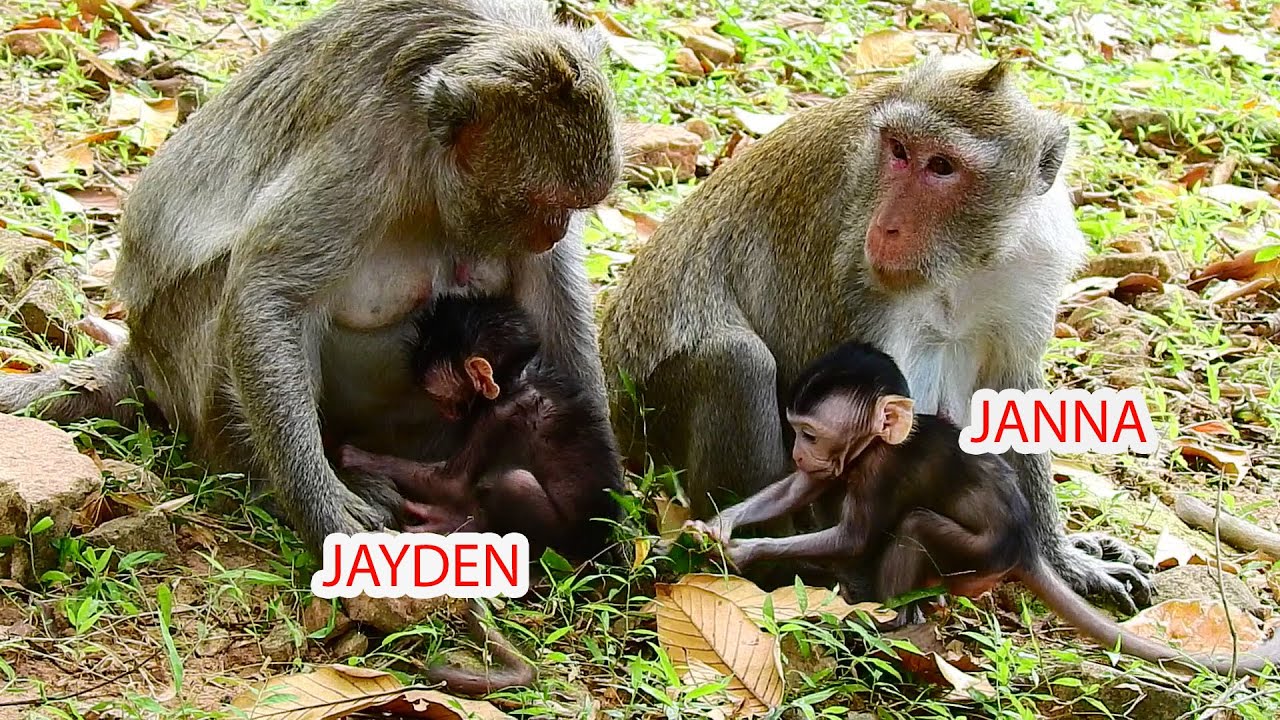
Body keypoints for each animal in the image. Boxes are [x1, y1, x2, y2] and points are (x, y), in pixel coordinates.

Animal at [335, 295, 623, 563]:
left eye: (438, 396)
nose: (445, 411)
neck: (516, 377)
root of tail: (600, 547)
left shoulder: (498, 415)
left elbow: (452, 483)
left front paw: (358, 457)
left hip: (564, 541)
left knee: (514, 483)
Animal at [599, 55, 1153, 611]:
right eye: (899, 151)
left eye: (942, 167)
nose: (886, 226)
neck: (965, 256)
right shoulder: (848, 256)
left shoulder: (1032, 257)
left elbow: (1008, 388)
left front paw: (1058, 558)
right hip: (646, 420)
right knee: (738, 361)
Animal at [687, 341, 1280, 679]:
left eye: (809, 432)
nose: (798, 451)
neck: (880, 442)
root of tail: (1027, 546)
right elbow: (800, 489)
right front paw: (717, 525)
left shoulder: (882, 469)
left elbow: (855, 537)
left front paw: (744, 551)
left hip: (981, 559)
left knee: (915, 527)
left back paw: (893, 621)